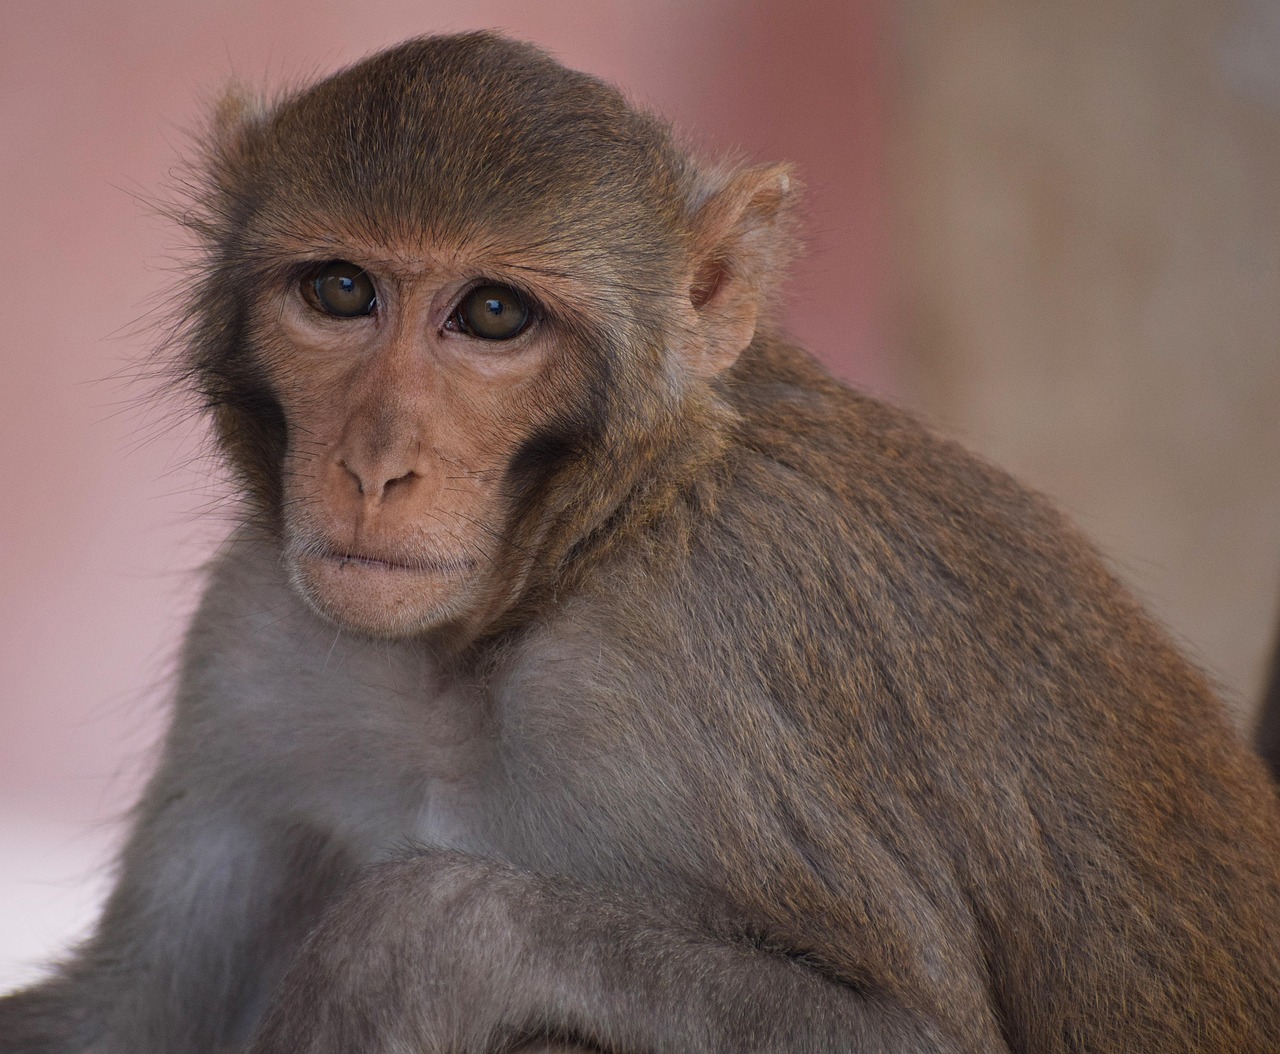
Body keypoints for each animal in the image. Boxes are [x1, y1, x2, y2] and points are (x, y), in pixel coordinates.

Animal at [4, 30, 1280, 1054]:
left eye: (493, 314)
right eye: (339, 290)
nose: (375, 467)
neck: (511, 617)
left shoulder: (705, 648)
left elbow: (910, 1032)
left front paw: (404, 945)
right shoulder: (256, 639)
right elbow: (124, 1015)